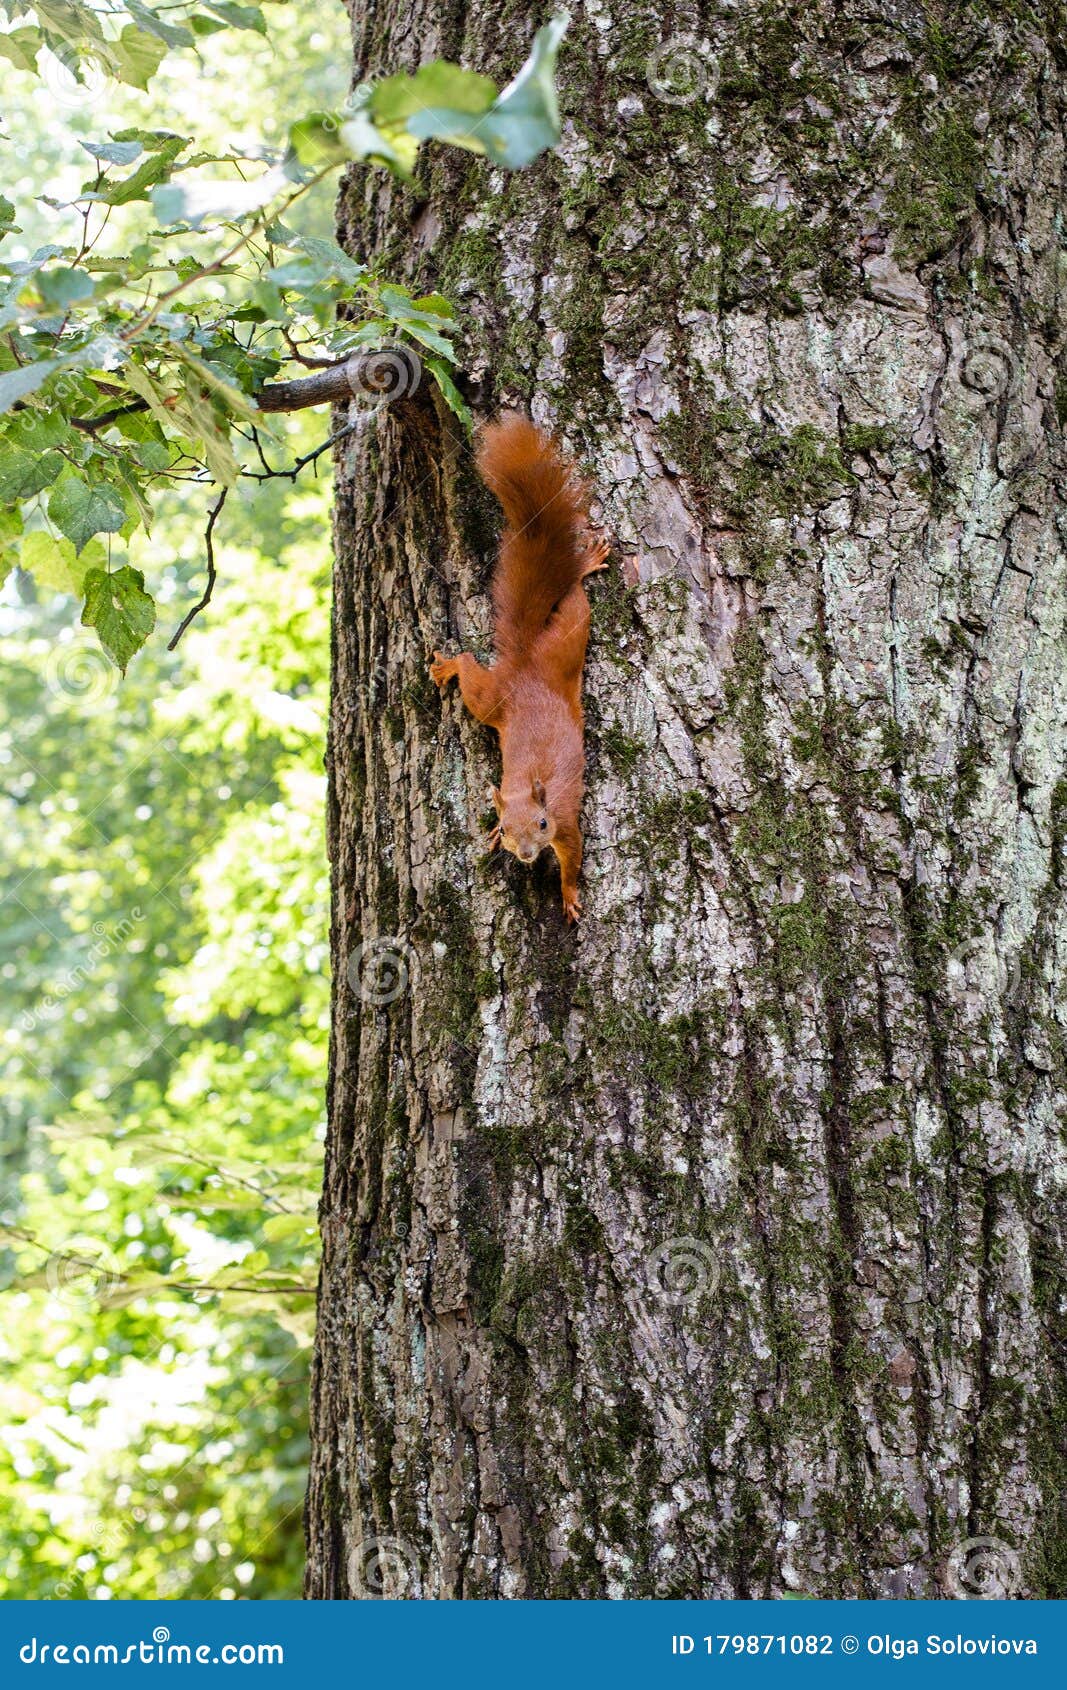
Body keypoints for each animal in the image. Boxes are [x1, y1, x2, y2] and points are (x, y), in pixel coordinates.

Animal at [430, 413, 609, 922]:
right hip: (499, 696)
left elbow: (573, 859)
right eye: (506, 827)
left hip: (557, 652)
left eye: (542, 822)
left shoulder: (566, 824)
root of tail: (526, 661)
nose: (527, 854)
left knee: (574, 603)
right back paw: (448, 666)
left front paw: (569, 895)